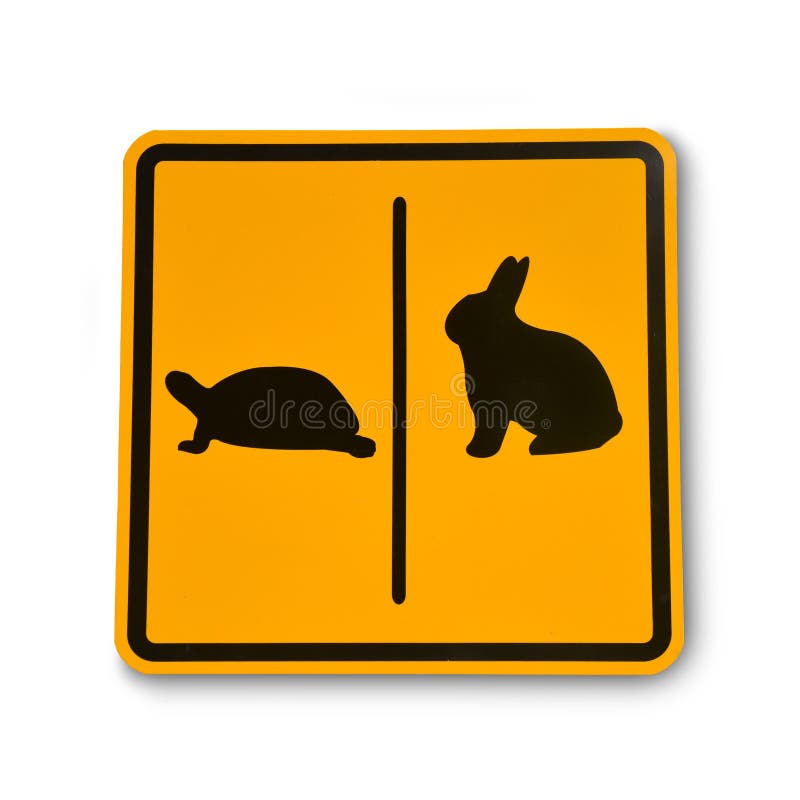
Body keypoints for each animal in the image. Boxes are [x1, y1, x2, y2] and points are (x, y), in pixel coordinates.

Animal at [445, 256, 622, 457]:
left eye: (474, 308)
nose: (448, 325)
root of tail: (614, 419)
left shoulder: (492, 408)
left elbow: (490, 431)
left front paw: (477, 452)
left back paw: (539, 447)